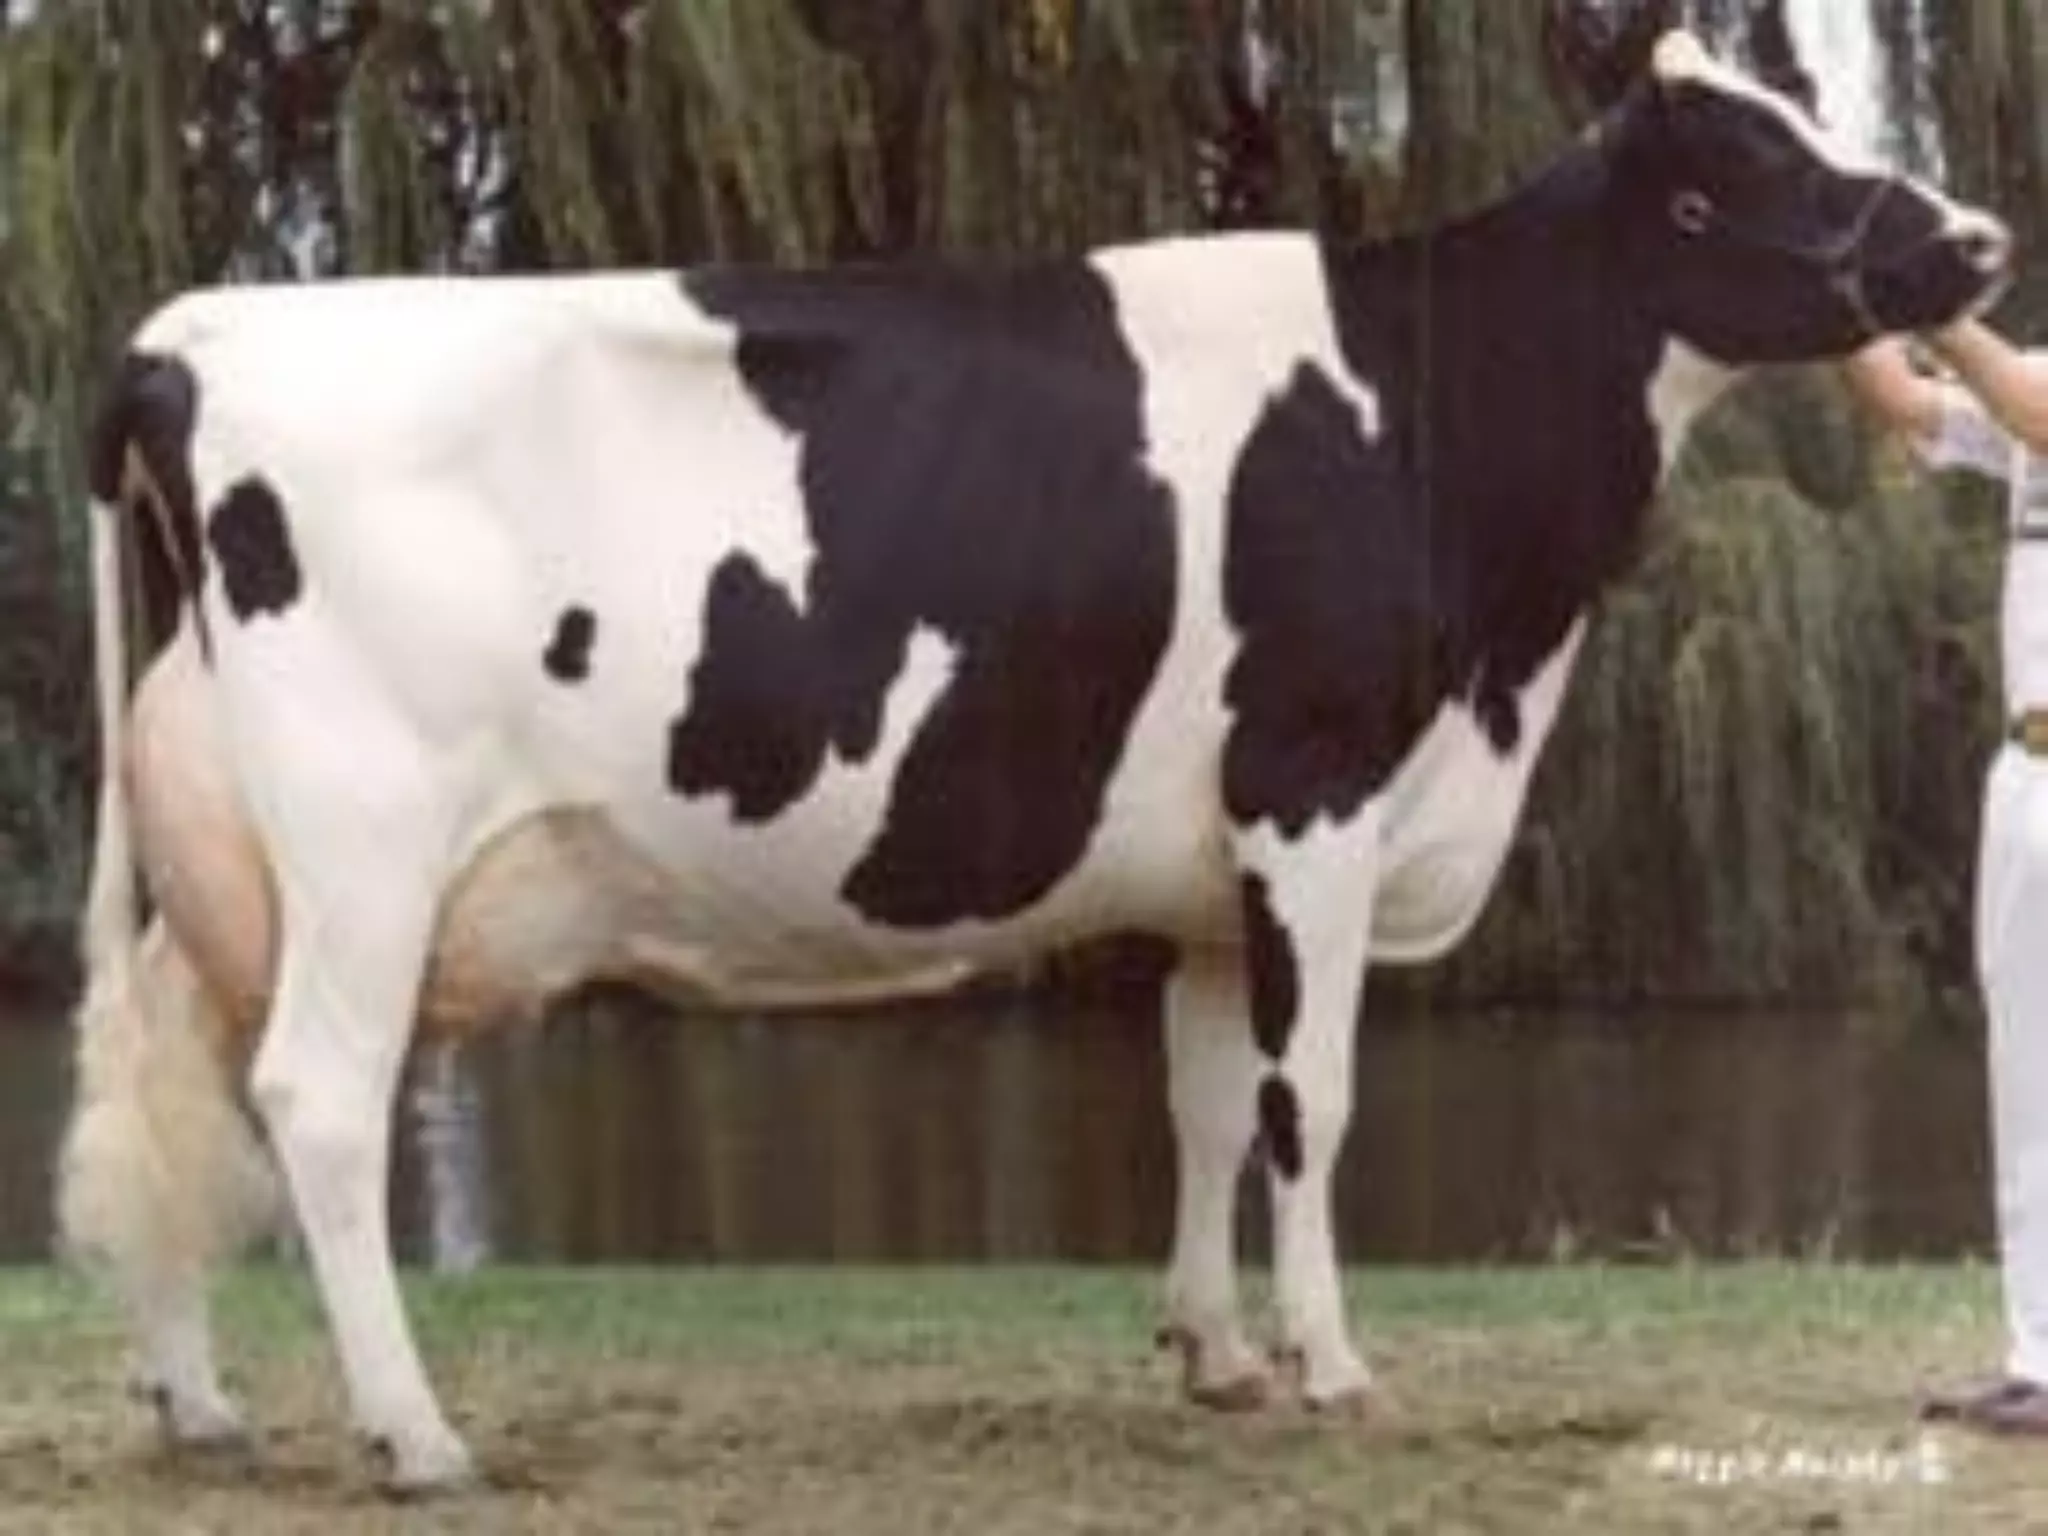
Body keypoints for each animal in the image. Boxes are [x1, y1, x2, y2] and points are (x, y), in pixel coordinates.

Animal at [58, 31, 2008, 1493]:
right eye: (1740, 170)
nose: (1980, 242)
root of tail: (192, 331)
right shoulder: (1314, 792)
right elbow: (1311, 1104)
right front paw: (1333, 1366)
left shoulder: (1221, 869)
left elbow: (1205, 1095)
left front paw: (1215, 1354)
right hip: (367, 843)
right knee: (317, 1098)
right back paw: (415, 1435)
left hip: (223, 861)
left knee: (172, 1080)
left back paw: (199, 1402)